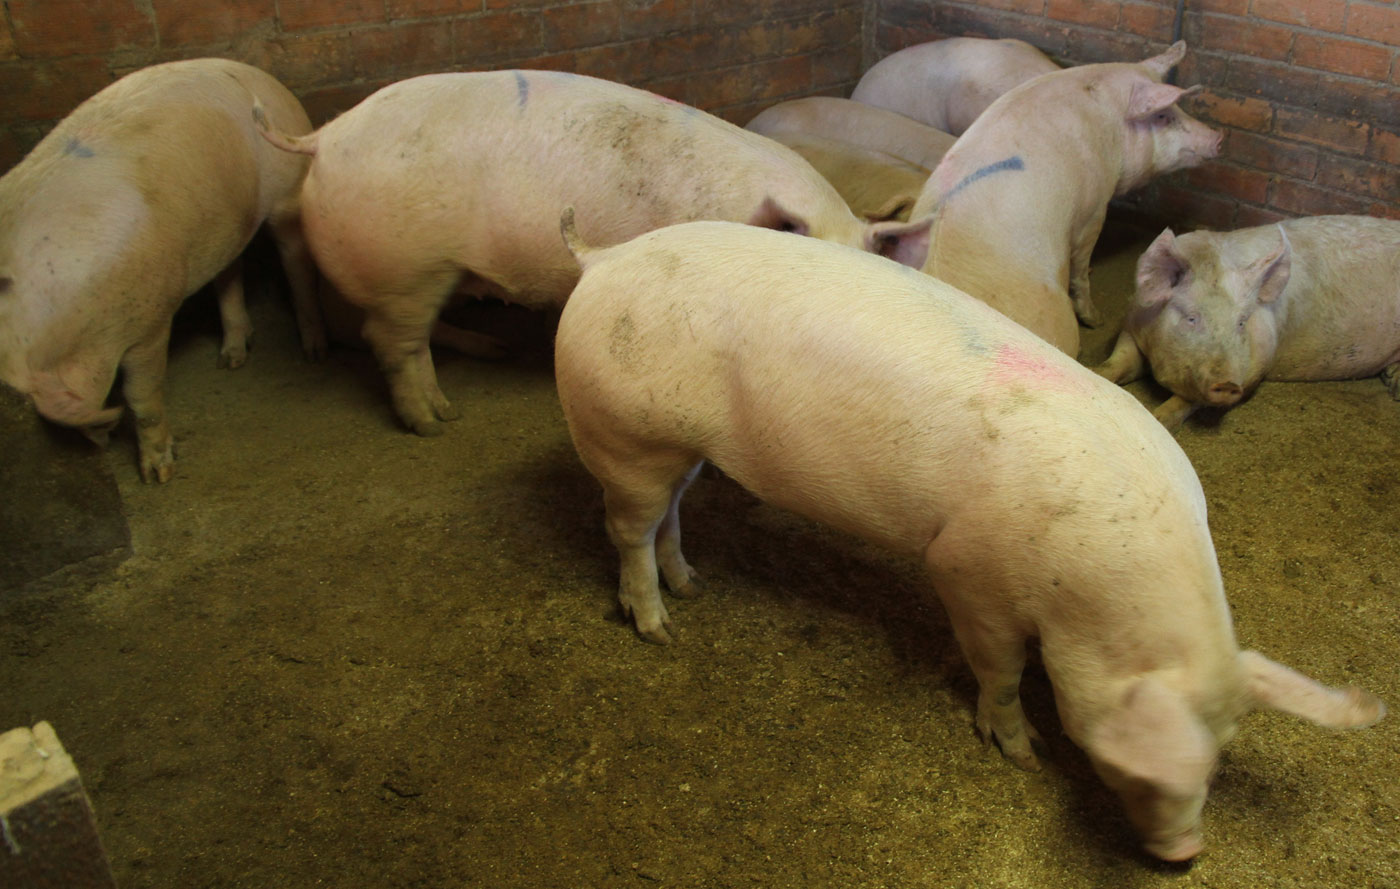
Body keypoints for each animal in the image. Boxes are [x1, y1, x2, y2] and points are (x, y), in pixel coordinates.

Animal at [0, 59, 319, 483]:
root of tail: (257, 73)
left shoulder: (149, 319)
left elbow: (142, 396)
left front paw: (158, 475)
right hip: (223, 222)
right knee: (229, 273)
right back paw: (231, 359)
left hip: (286, 189)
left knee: (295, 264)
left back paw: (315, 352)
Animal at [909, 41, 1222, 357]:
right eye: (1162, 116)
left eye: (1177, 109)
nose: (1219, 137)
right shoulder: (1093, 209)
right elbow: (1081, 267)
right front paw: (1097, 319)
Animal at [1096, 216, 1400, 429]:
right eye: (1192, 317)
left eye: (1241, 322)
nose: (1228, 383)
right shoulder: (1132, 325)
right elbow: (1117, 364)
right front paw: (1094, 372)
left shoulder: (1257, 365)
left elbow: (1187, 402)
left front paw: (1158, 419)